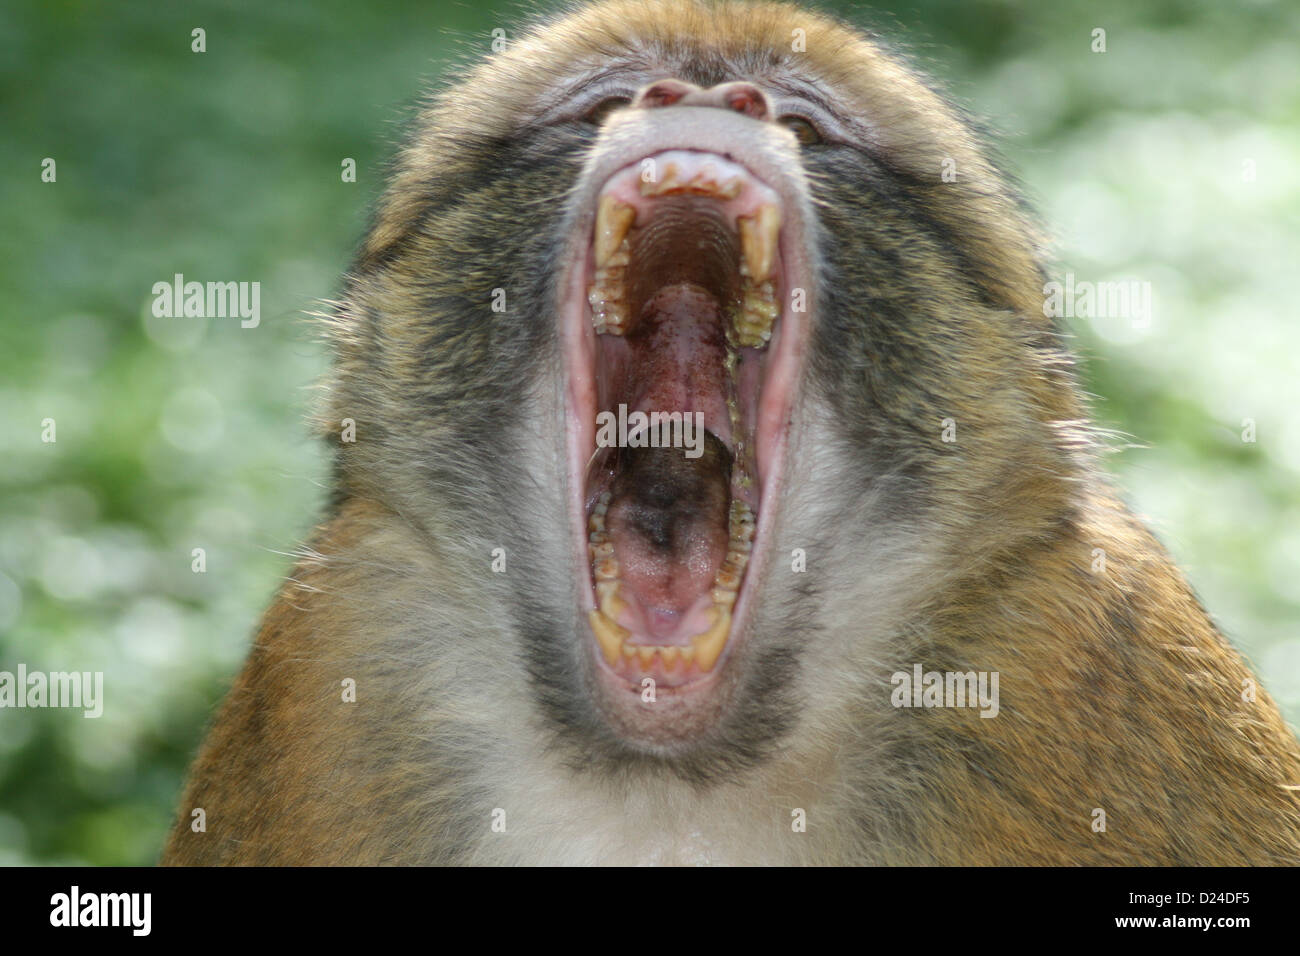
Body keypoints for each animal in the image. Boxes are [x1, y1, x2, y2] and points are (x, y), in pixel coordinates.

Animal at [162, 0, 1300, 865]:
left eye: (806, 121)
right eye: (603, 104)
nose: (707, 98)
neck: (672, 777)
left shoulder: (1085, 637)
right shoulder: (339, 647)